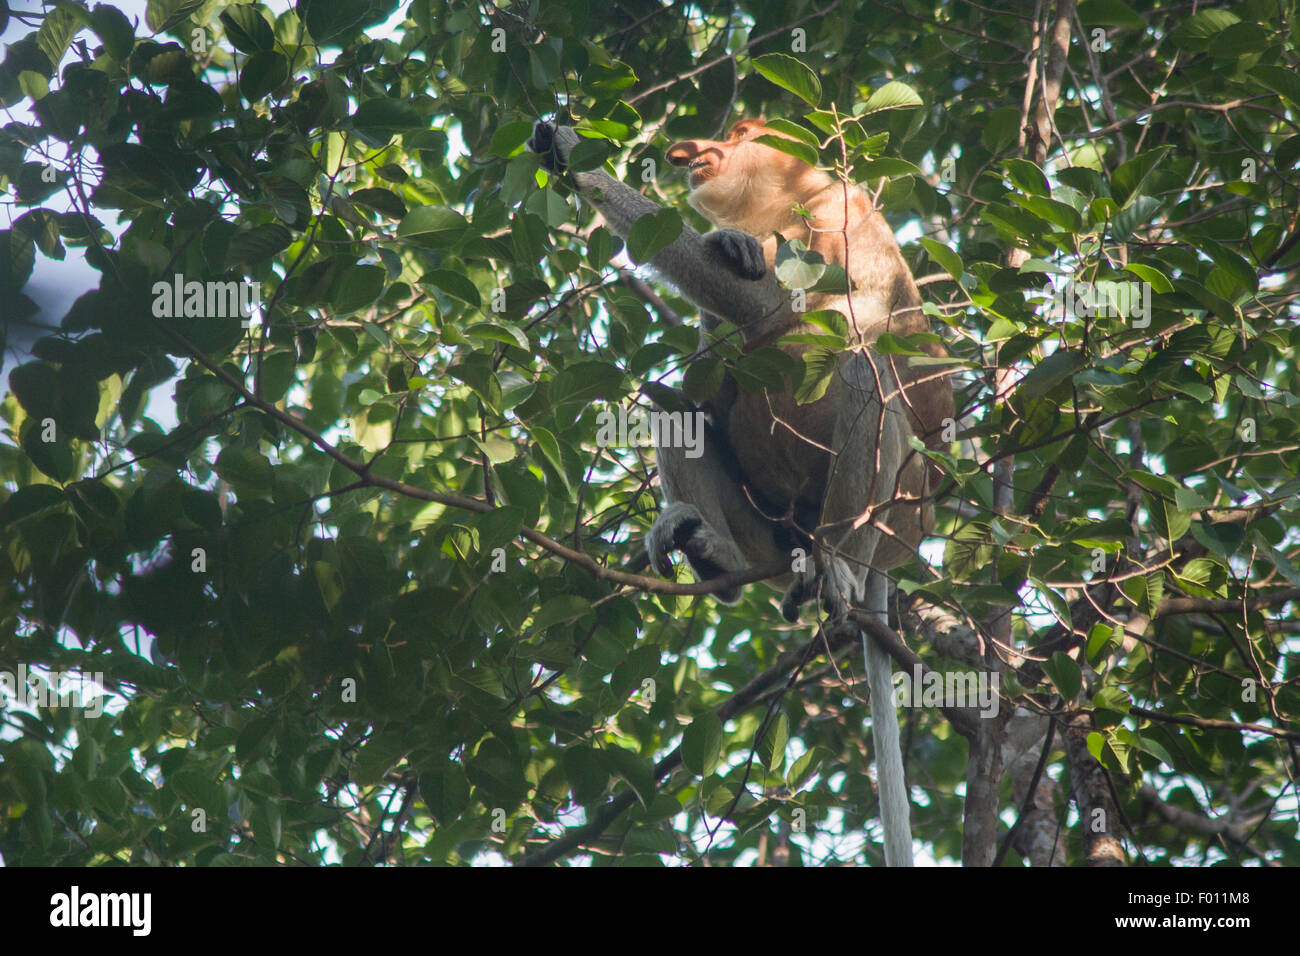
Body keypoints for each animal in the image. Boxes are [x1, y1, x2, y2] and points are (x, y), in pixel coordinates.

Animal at [528, 119, 952, 866]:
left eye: (741, 132)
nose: (692, 152)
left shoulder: (840, 213)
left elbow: (792, 311)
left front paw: (575, 158)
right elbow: (712, 373)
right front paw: (735, 245)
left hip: (903, 502)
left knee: (861, 372)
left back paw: (836, 566)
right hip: (769, 531)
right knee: (674, 403)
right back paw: (715, 553)